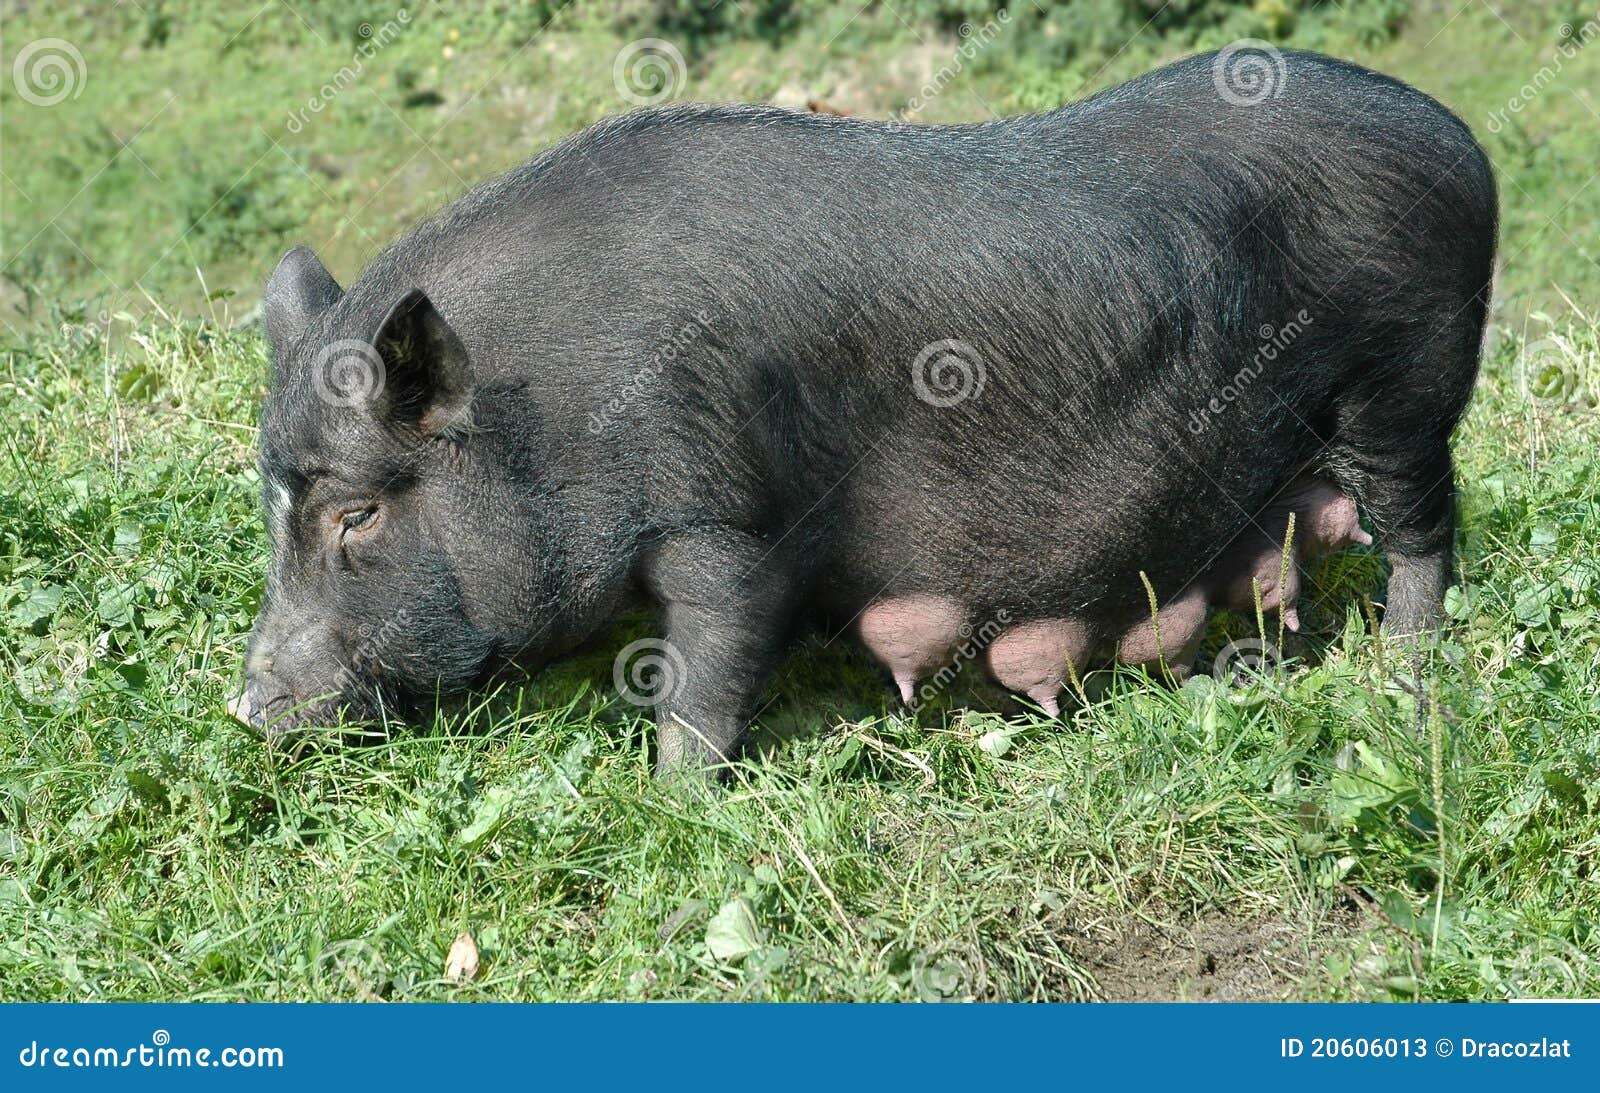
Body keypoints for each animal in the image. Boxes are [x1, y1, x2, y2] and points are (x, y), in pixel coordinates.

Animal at [239, 48, 1496, 774]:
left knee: (1425, 530)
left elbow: (704, 676)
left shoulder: (731, 521)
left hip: (1404, 391)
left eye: (356, 514)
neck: (550, 408)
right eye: (273, 506)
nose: (249, 706)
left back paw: (1404, 674)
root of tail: (1454, 132)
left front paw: (679, 799)